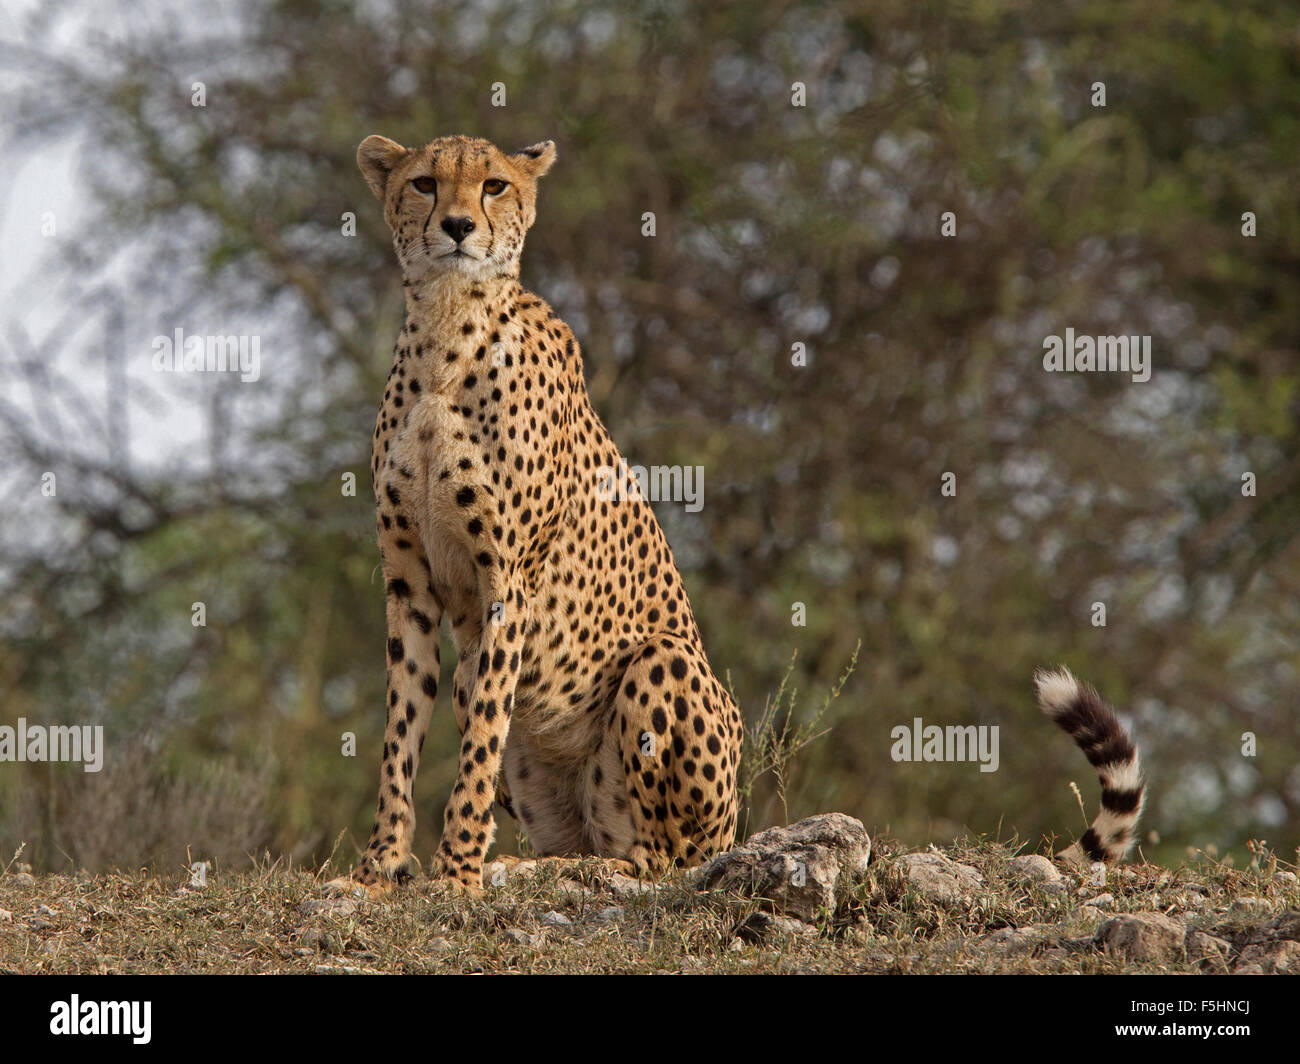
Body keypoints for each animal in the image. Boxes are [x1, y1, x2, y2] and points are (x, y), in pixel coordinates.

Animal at [326, 133, 743, 897]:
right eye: (424, 183)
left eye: (493, 185)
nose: (459, 226)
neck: (444, 331)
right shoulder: (409, 585)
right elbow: (402, 731)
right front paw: (379, 867)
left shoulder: (507, 582)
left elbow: (481, 738)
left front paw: (457, 871)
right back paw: (529, 861)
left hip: (663, 667)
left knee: (653, 860)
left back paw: (539, 869)